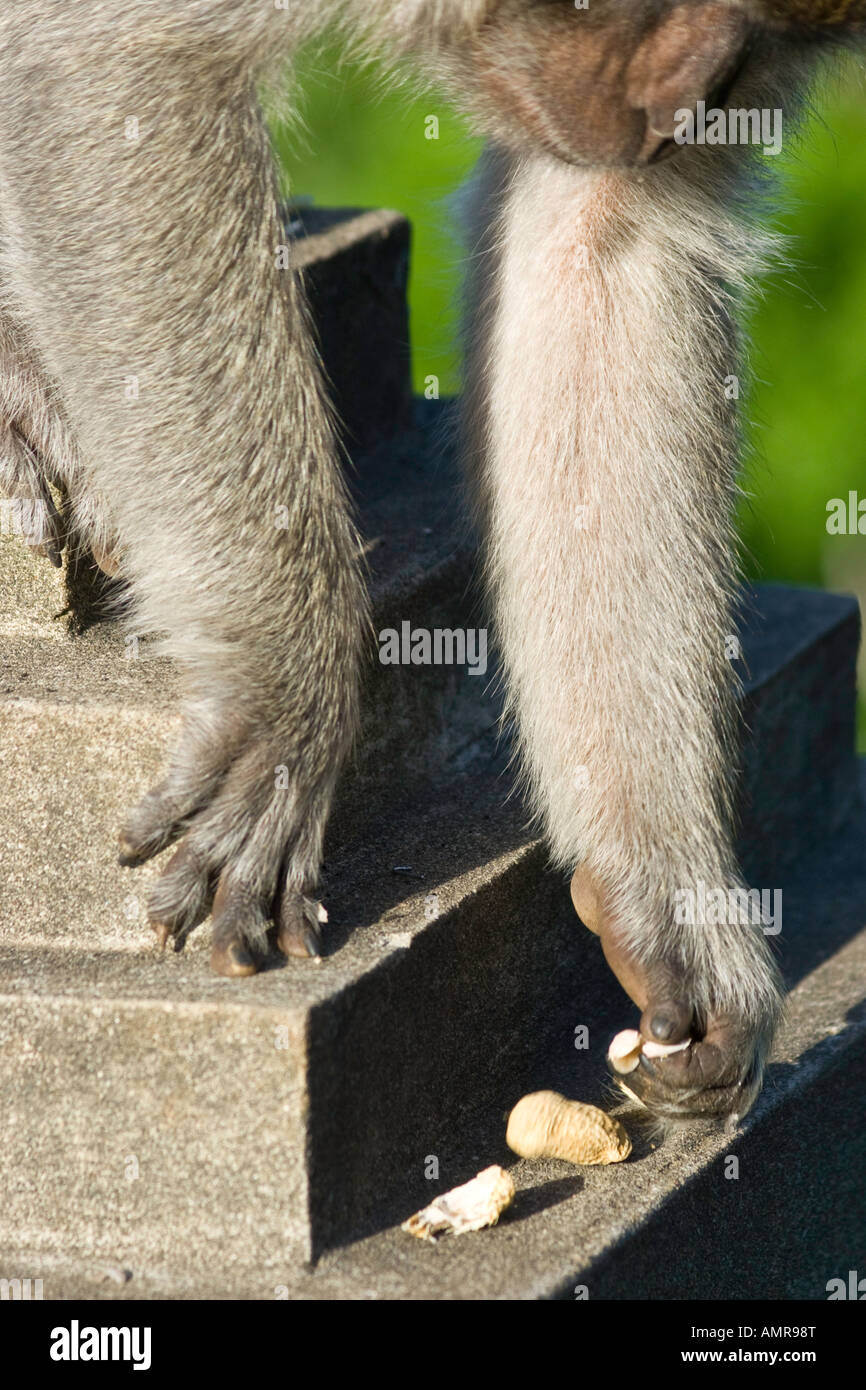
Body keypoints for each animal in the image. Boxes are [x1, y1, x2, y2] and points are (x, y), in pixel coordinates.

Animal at [0, 1, 861, 1125]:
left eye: (760, 40)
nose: (678, 110)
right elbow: (119, 67)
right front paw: (285, 701)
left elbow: (601, 235)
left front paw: (666, 900)